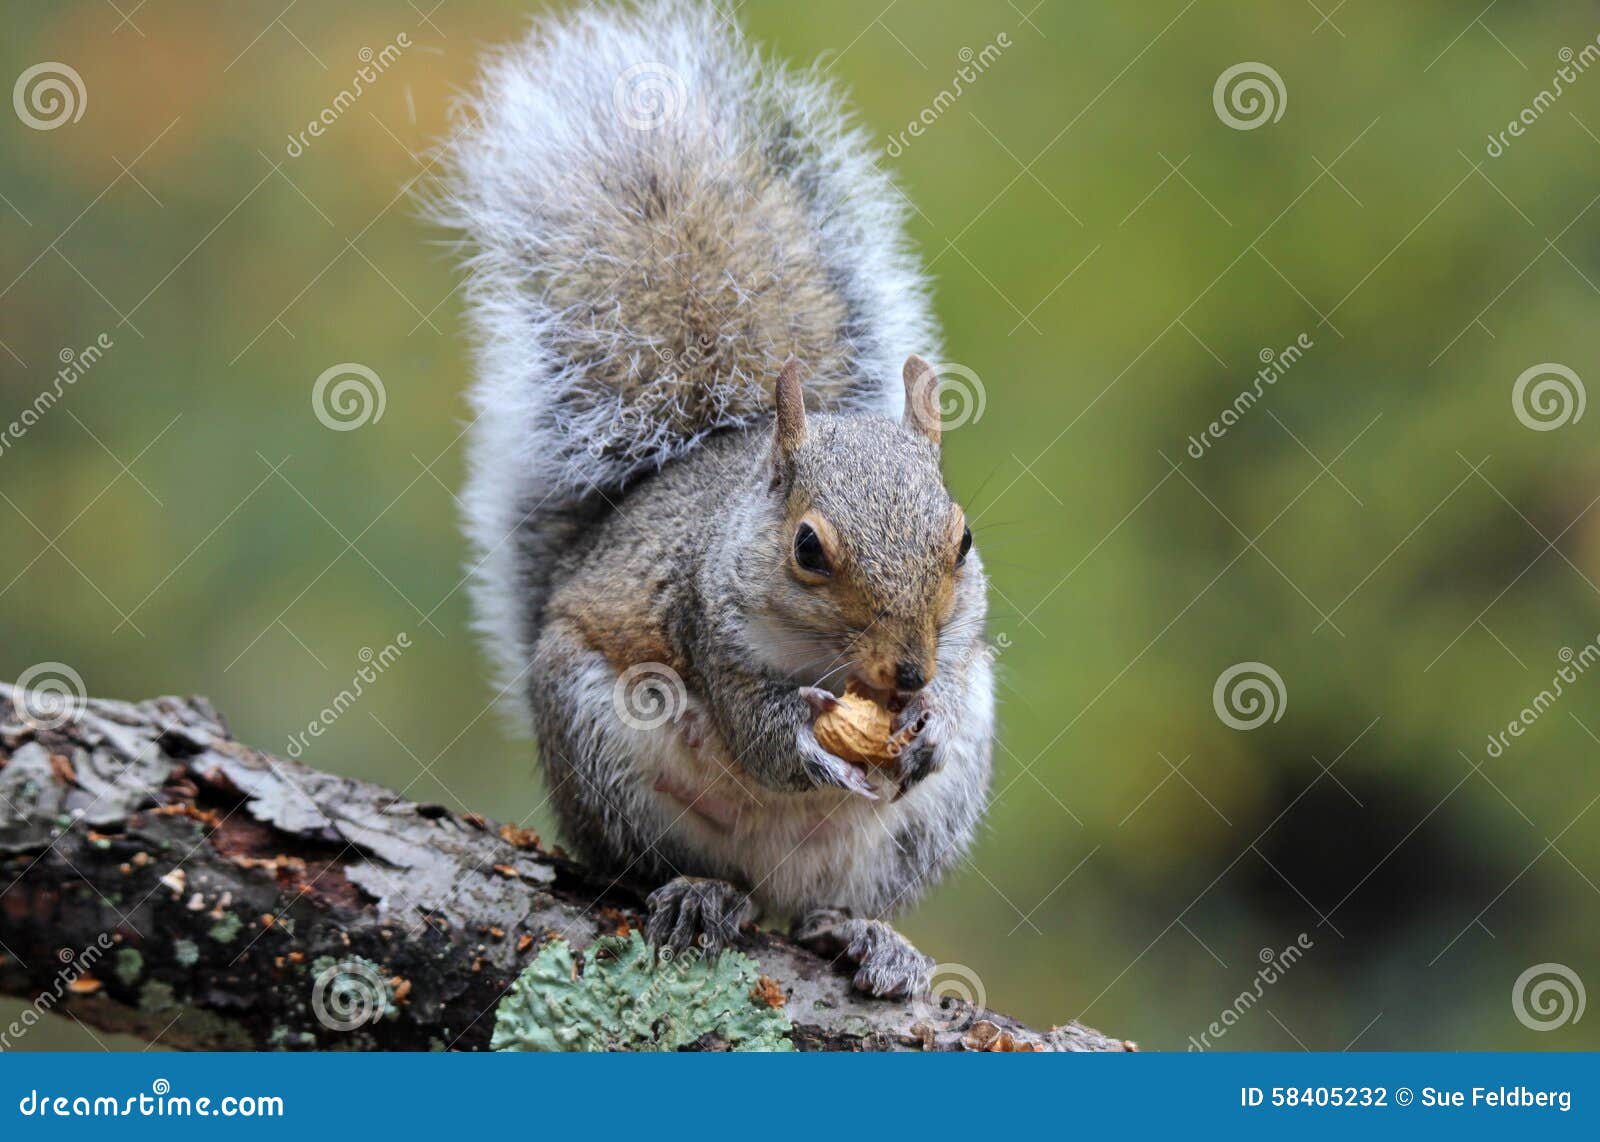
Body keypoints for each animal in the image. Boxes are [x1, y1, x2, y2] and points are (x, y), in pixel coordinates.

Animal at [432, 0, 994, 998]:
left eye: (962, 541)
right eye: (807, 548)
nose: (909, 676)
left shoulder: (961, 648)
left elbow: (951, 697)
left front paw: (927, 730)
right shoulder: (705, 627)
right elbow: (758, 734)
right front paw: (805, 746)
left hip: (919, 830)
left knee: (825, 904)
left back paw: (866, 935)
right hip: (604, 751)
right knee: (657, 863)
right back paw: (703, 895)